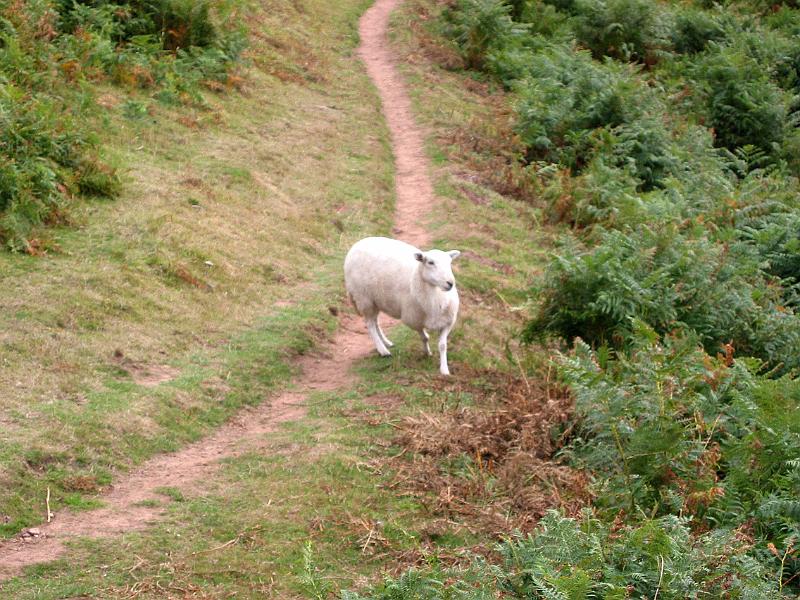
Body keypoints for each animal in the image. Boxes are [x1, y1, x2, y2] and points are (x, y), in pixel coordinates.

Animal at [344, 236, 461, 375]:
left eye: (449, 262)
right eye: (430, 262)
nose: (450, 283)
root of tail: (357, 244)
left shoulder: (448, 322)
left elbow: (442, 345)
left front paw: (444, 370)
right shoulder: (413, 321)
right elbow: (424, 338)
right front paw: (427, 353)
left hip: (375, 300)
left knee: (375, 321)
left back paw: (387, 343)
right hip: (363, 298)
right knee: (370, 324)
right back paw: (383, 351)